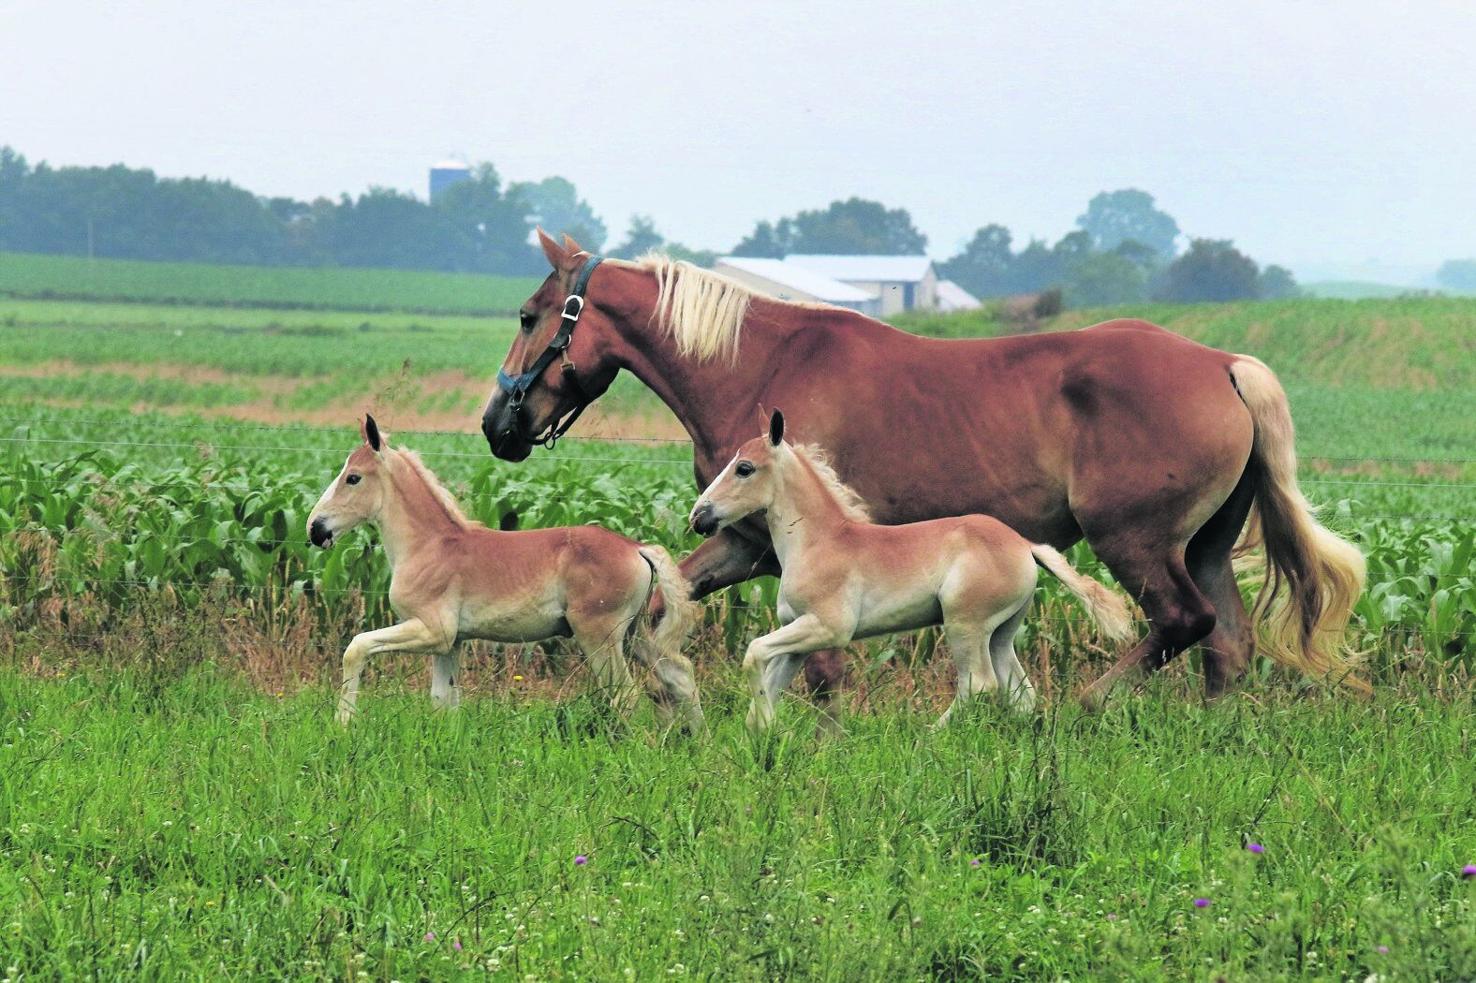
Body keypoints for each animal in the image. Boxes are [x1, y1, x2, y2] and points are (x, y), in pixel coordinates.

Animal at [307, 415, 704, 730]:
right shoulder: (451, 643)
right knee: (679, 678)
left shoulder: (431, 630)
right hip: (634, 634)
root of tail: (636, 547)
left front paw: (343, 724)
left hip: (599, 637)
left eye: (353, 478)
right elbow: (443, 702)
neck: (430, 546)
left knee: (627, 695)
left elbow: (357, 648)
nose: (315, 529)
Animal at [690, 410, 1133, 729]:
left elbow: (753, 653)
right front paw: (761, 740)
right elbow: (768, 681)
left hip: (964, 624)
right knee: (1019, 694)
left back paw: (929, 739)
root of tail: (1024, 545)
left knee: (979, 685)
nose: (699, 516)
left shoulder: (827, 628)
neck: (818, 542)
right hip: (1001, 634)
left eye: (744, 468)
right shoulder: (799, 637)